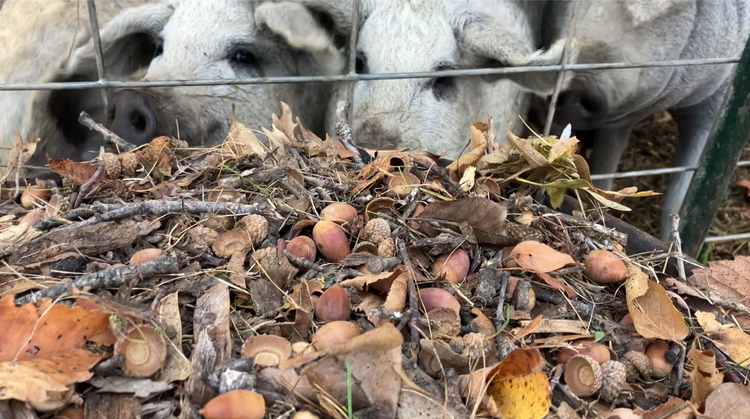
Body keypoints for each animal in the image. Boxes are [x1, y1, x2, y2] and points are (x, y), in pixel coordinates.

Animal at [546, 0, 750, 239]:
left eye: (670, 10)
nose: (575, 83)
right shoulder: (620, 116)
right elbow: (604, 164)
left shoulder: (718, 102)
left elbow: (683, 189)